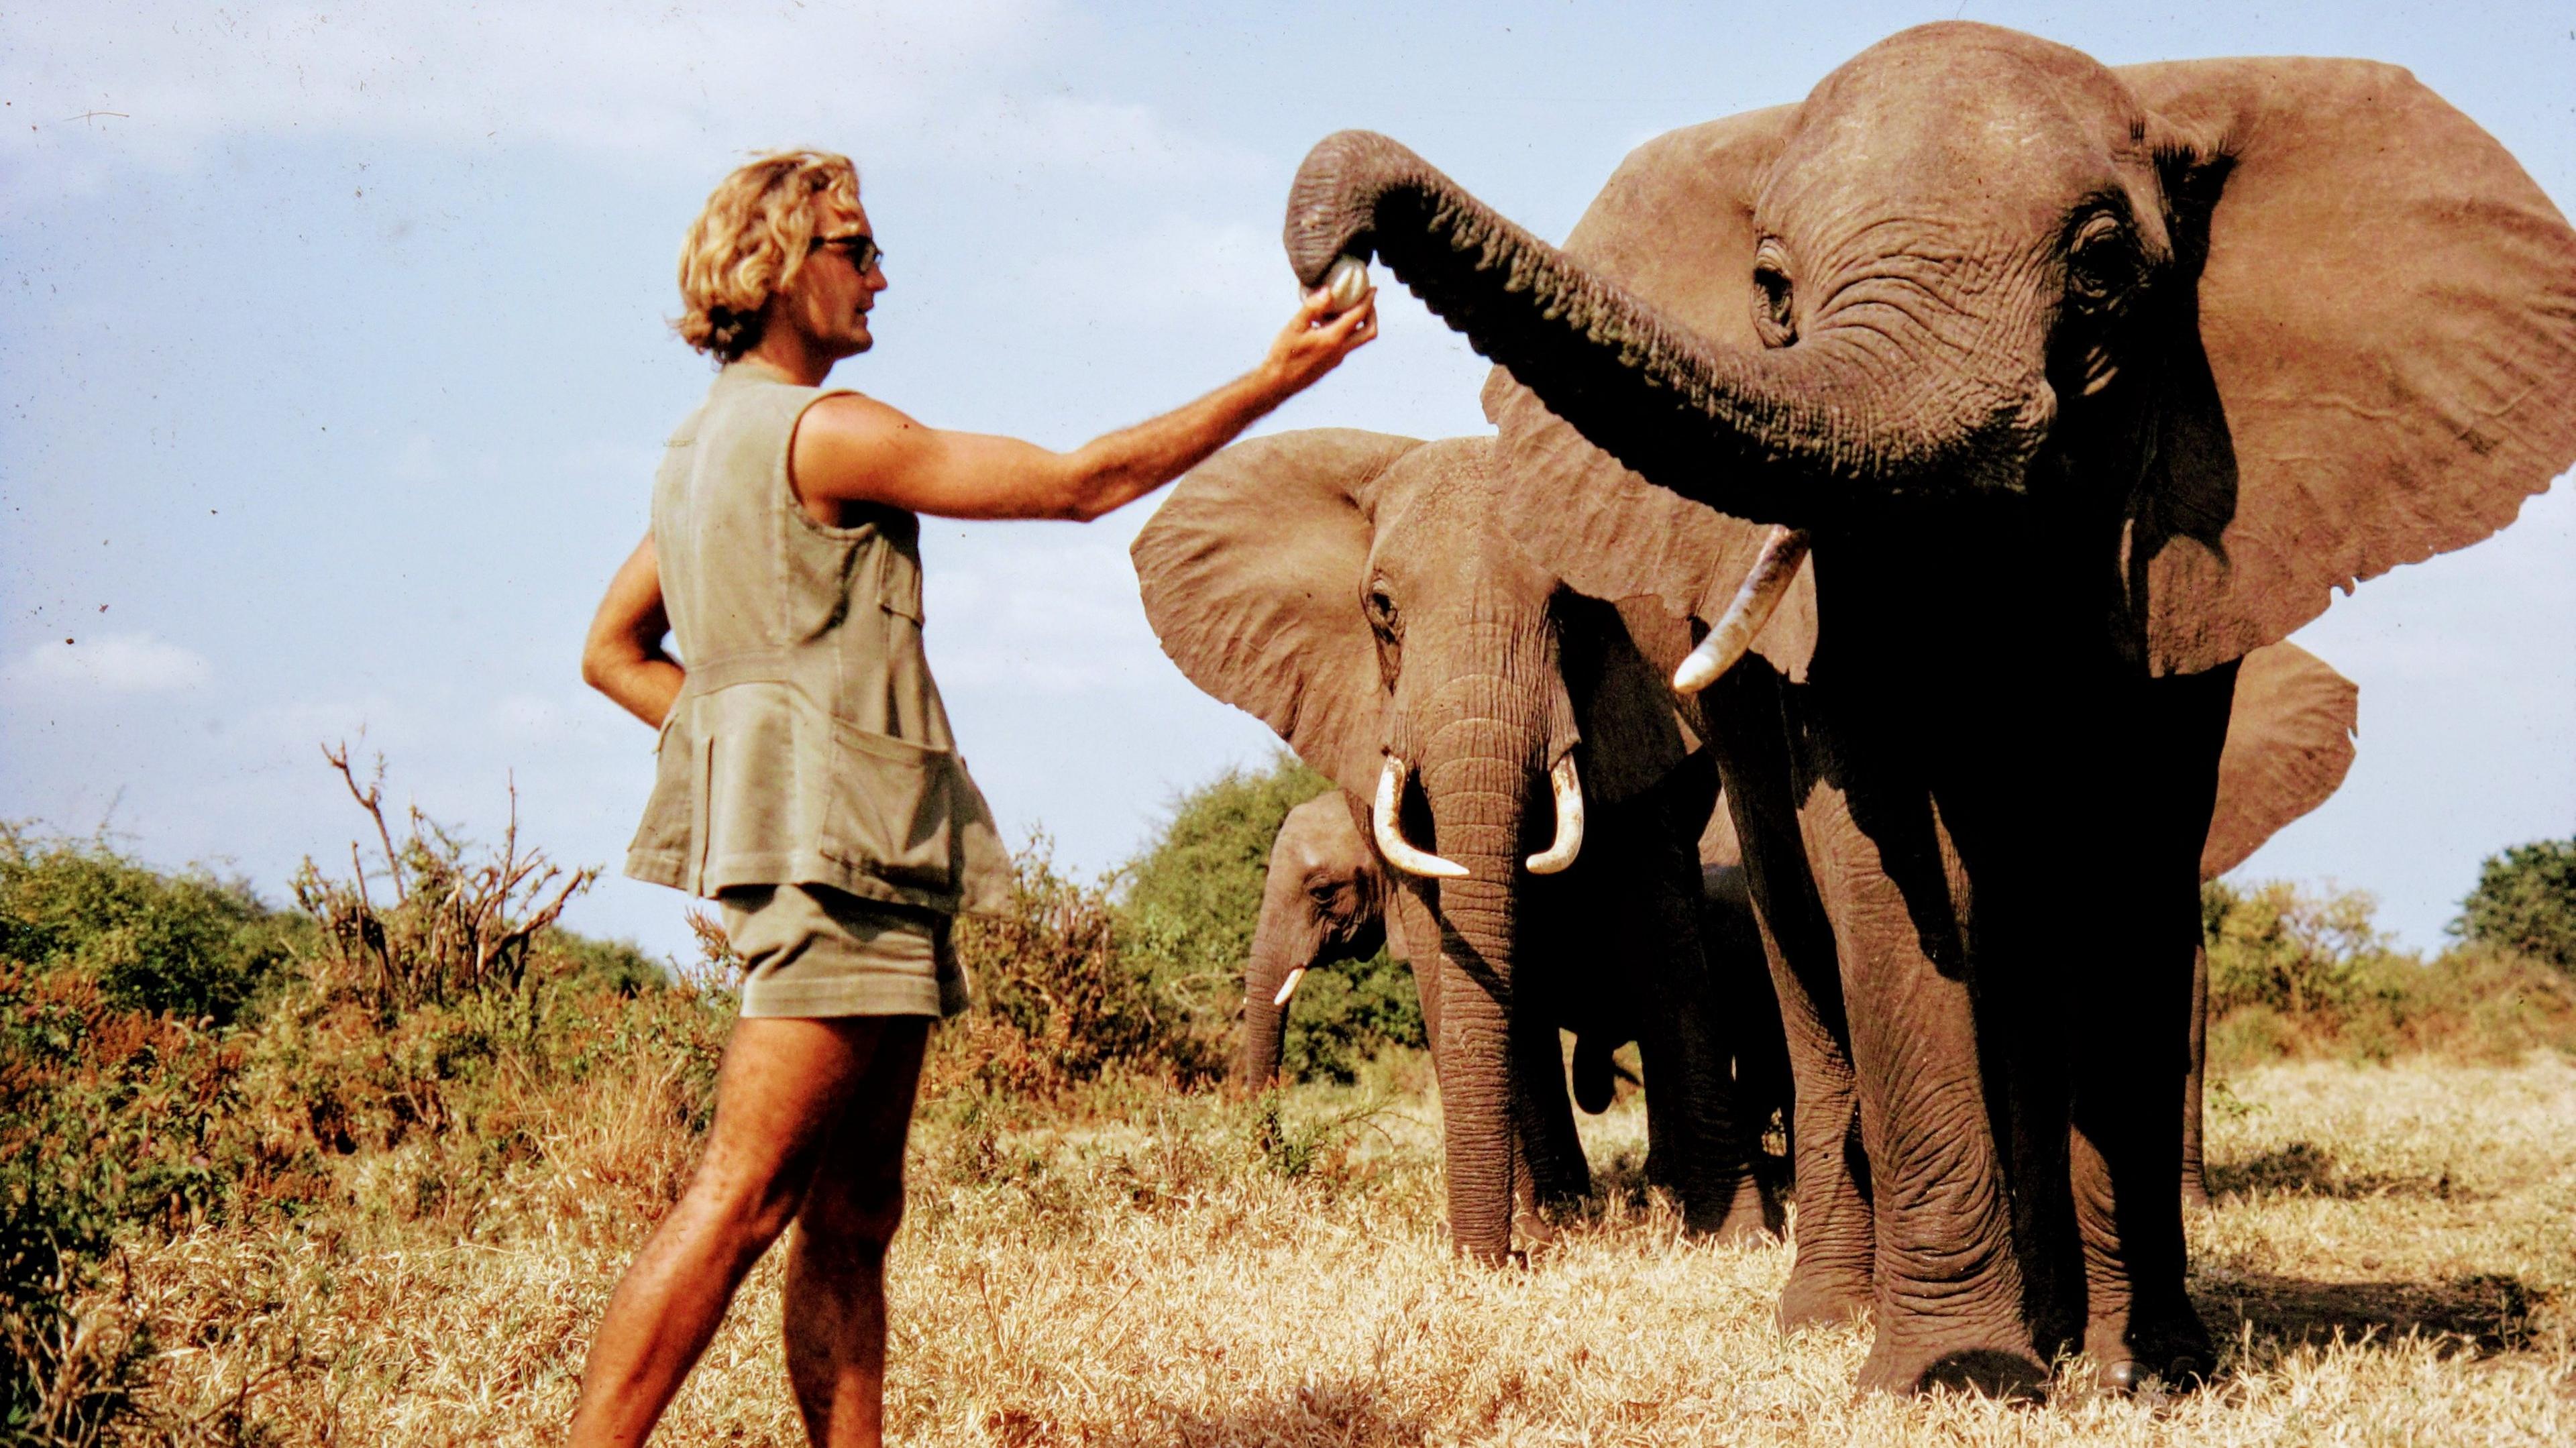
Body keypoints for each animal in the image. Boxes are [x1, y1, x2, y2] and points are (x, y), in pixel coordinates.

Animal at [1133, 429, 1781, 1262]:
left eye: (1573, 608)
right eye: (1381, 608)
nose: (1492, 1257)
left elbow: (1662, 937)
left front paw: (1738, 1238)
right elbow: (1443, 933)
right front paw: (1526, 1238)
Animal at [1279, 21, 2576, 1393]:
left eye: (2103, 268)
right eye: (1771, 289)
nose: (1335, 248)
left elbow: (2133, 859)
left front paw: (2146, 1370)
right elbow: (1887, 856)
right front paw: (1961, 1372)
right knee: (1803, 916)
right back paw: (1835, 1316)